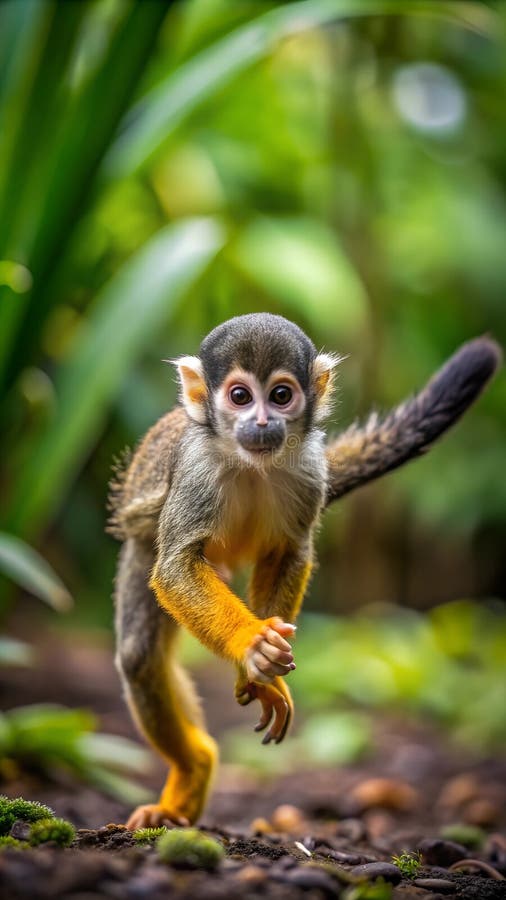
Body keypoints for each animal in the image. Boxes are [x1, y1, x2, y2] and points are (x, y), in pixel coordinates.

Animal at [108, 313, 501, 830]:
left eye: (280, 395)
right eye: (239, 396)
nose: (262, 421)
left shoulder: (311, 469)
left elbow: (290, 552)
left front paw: (261, 677)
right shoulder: (195, 471)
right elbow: (175, 566)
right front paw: (253, 646)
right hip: (139, 547)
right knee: (139, 655)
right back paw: (195, 768)